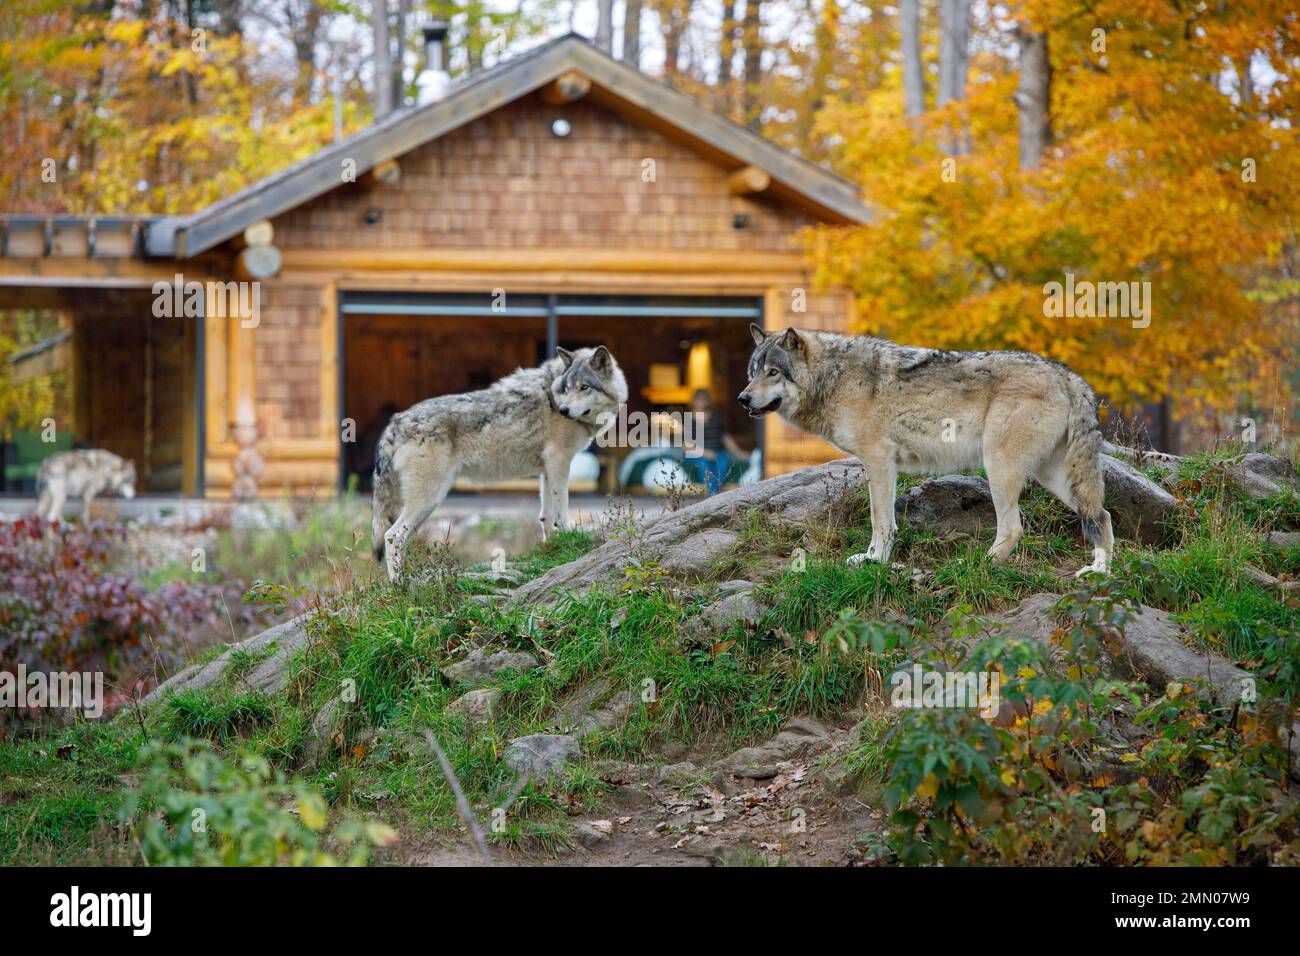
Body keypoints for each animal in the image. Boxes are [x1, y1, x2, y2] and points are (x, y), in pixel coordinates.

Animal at [372, 346, 628, 582]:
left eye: (584, 387)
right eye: (567, 389)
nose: (564, 410)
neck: (552, 396)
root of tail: (396, 422)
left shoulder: (548, 468)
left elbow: (546, 517)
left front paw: (552, 548)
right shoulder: (559, 460)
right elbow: (562, 511)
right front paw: (568, 537)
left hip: (426, 506)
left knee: (399, 539)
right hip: (429, 499)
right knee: (392, 537)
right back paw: (401, 587)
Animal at [739, 326, 1113, 576]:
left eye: (774, 372)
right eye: (752, 373)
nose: (742, 398)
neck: (835, 378)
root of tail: (1069, 375)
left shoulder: (878, 461)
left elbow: (880, 521)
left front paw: (874, 561)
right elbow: (886, 520)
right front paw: (873, 559)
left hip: (999, 467)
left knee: (1013, 529)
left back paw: (974, 564)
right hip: (1053, 477)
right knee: (1102, 516)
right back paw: (1099, 573)